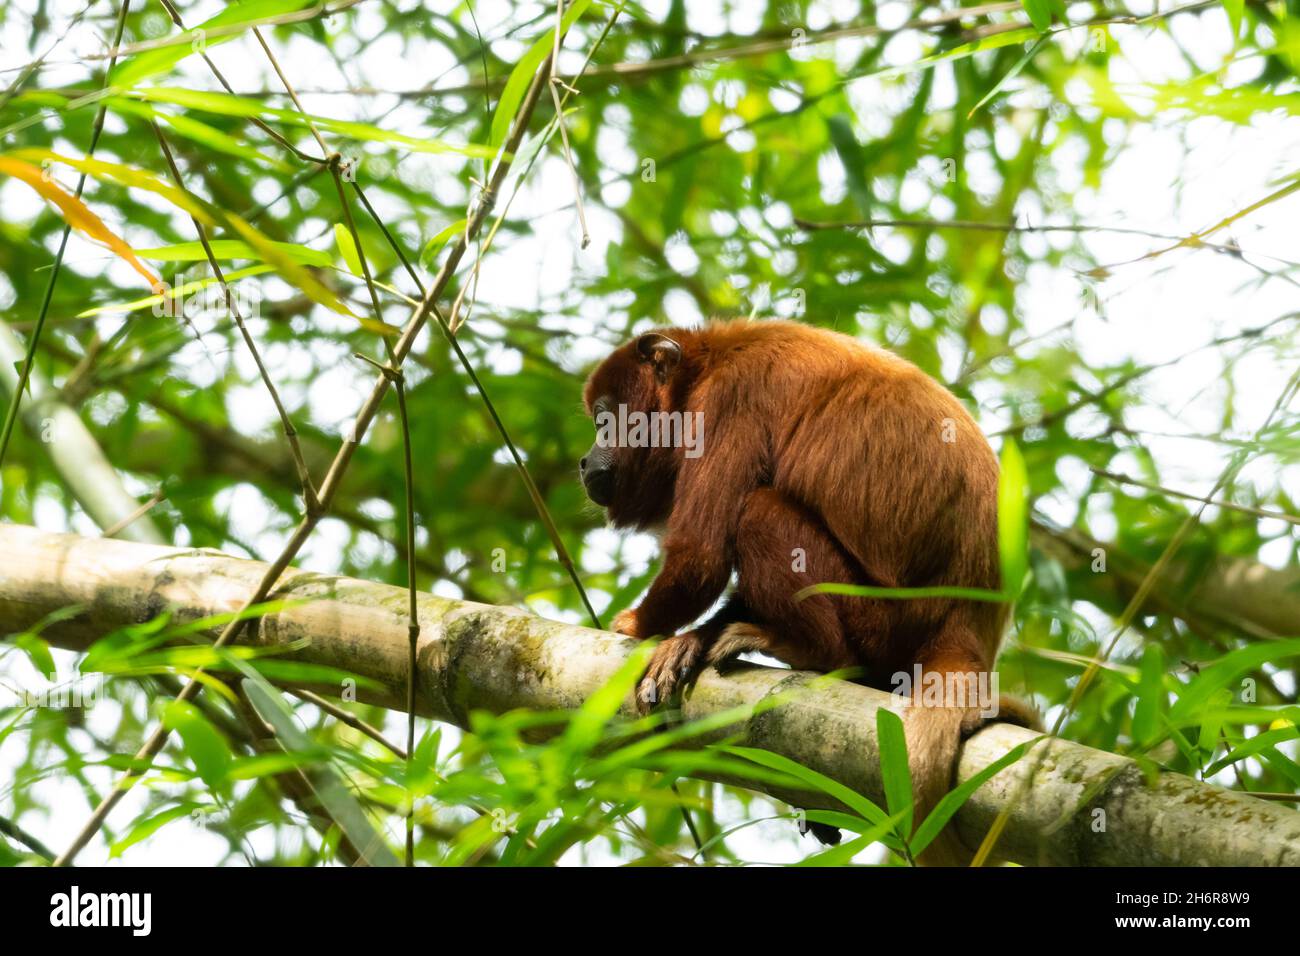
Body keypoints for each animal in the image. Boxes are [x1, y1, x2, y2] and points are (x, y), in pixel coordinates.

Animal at [579, 318, 1037, 866]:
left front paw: (638, 626)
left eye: (605, 420)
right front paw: (688, 642)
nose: (584, 460)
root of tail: (967, 628)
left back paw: (813, 650)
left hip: (881, 621)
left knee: (759, 510)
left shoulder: (726, 402)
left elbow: (701, 556)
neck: (704, 366)